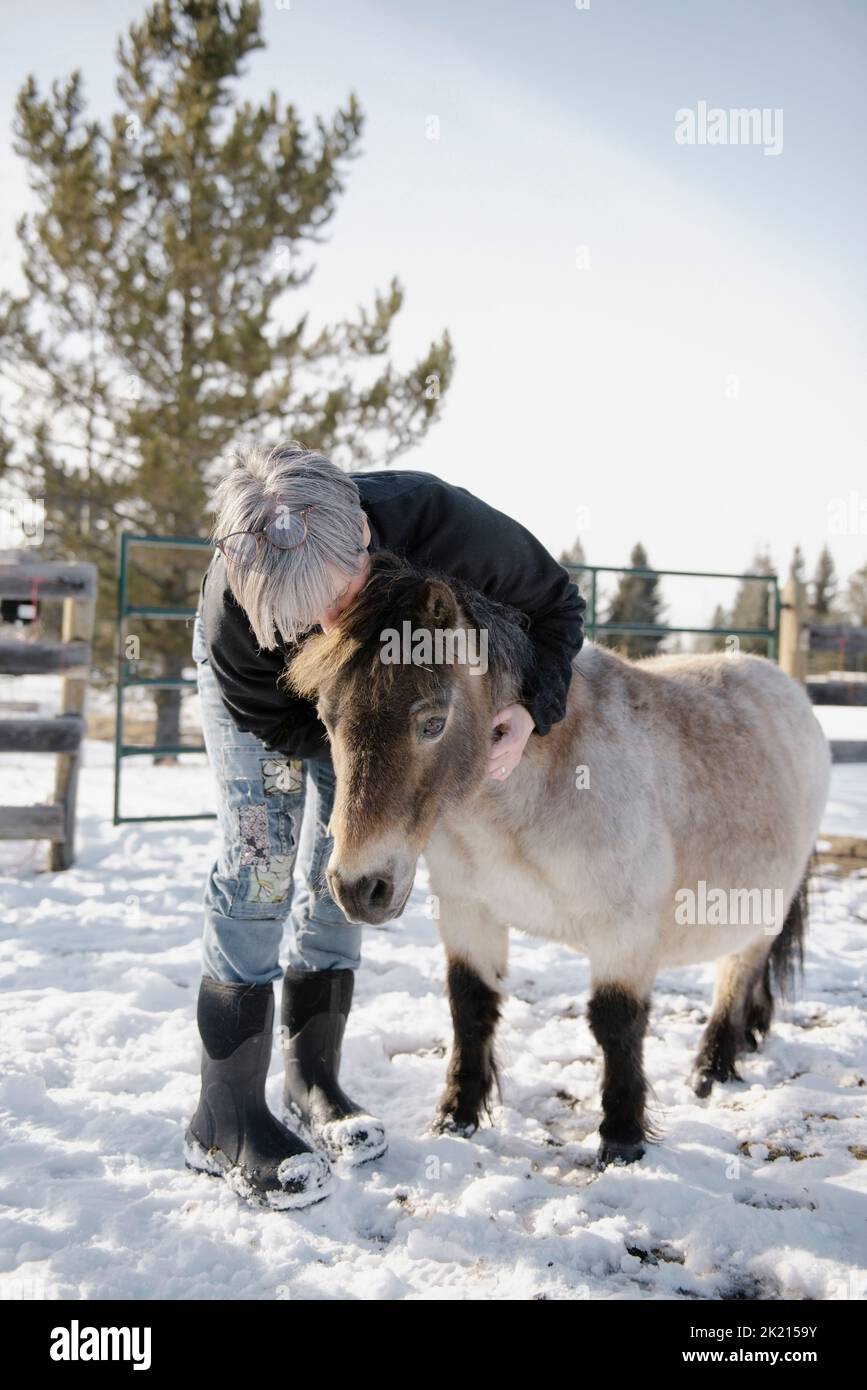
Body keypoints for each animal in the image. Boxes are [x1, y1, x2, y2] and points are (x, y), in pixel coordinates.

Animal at [287, 553, 830, 1167]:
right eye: (327, 719)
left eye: (432, 722)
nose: (359, 888)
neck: (529, 797)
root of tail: (786, 687)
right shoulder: (468, 911)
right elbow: (470, 1006)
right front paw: (457, 1117)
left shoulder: (624, 931)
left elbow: (616, 1023)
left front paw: (621, 1138)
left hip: (762, 908)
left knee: (737, 974)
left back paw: (711, 1069)